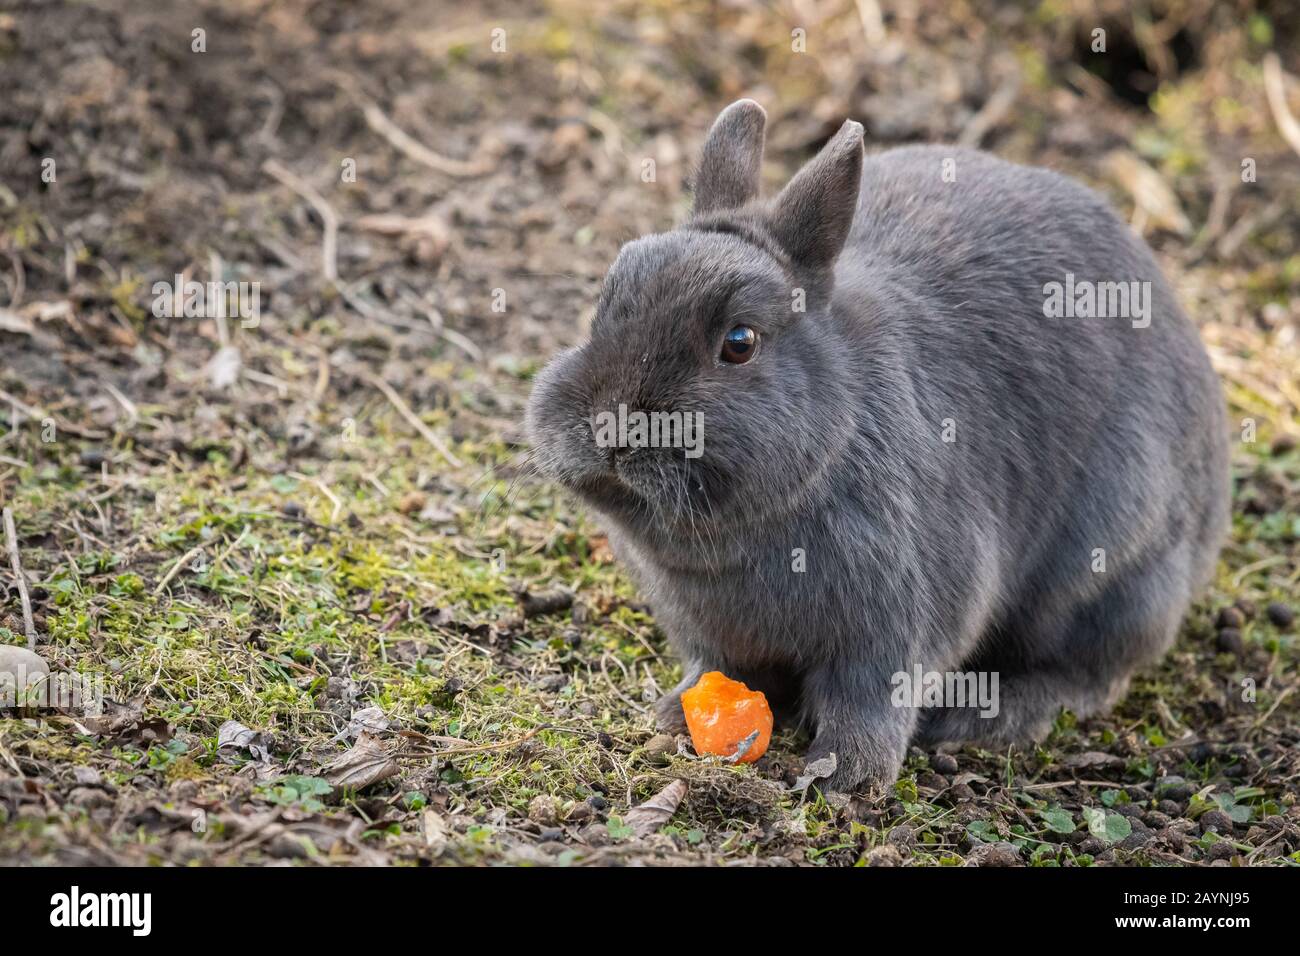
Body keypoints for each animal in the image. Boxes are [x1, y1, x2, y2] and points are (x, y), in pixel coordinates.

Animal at [525, 99, 1231, 792]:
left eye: (740, 342)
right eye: (606, 301)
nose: (613, 427)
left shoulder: (893, 629)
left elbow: (867, 701)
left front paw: (846, 777)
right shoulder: (712, 636)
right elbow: (720, 673)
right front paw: (676, 717)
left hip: (1107, 569)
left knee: (1090, 671)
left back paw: (987, 716)